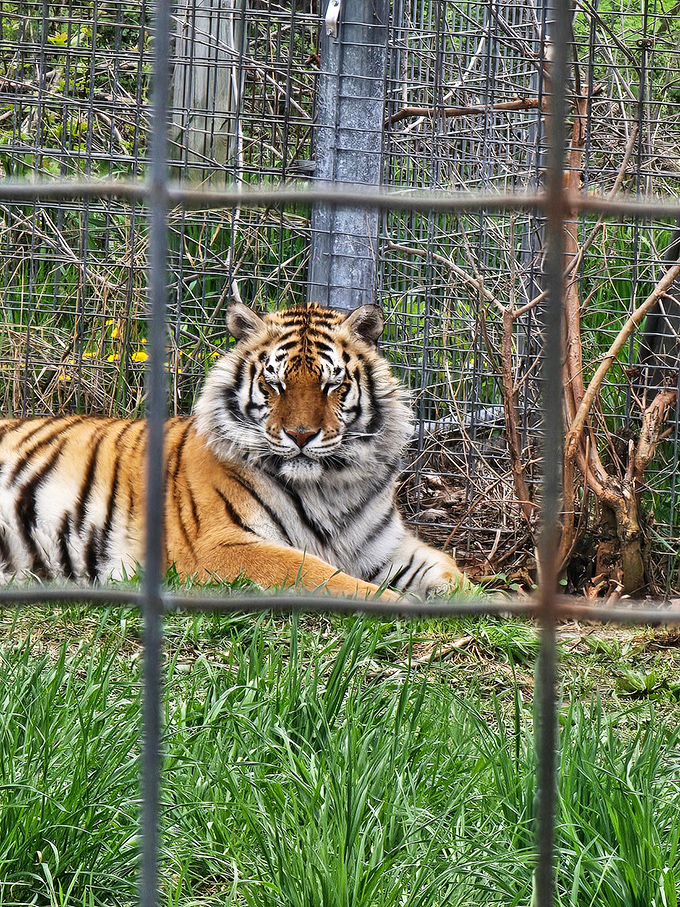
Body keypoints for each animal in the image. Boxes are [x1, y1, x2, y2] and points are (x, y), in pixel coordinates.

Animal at [0, 302, 467, 599]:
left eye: (331, 384)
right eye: (274, 383)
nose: (301, 435)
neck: (333, 486)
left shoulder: (384, 547)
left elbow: (449, 570)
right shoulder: (218, 546)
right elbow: (324, 575)